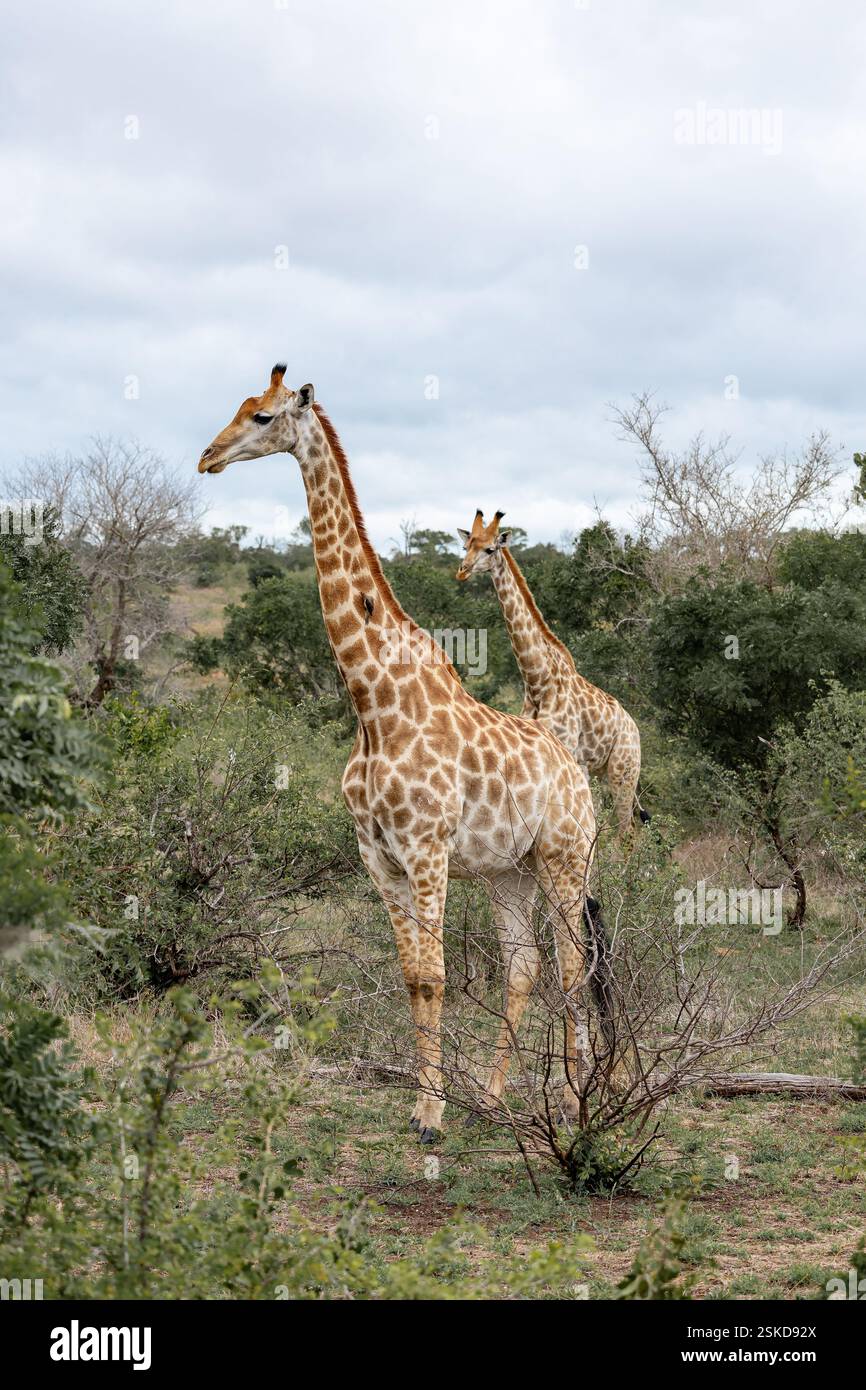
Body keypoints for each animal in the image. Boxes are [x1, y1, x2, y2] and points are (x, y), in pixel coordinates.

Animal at [198, 366, 611, 1141]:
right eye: (237, 407)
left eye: (263, 416)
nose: (207, 457)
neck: (373, 702)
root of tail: (578, 775)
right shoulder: (378, 856)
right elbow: (413, 976)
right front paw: (428, 1104)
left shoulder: (425, 848)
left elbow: (436, 975)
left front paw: (432, 1116)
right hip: (510, 871)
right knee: (526, 965)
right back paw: (495, 1097)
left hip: (565, 857)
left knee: (575, 962)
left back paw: (575, 1103)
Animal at [456, 510, 644, 845]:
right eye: (466, 545)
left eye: (490, 549)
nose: (462, 571)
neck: (537, 680)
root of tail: (634, 728)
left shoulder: (570, 754)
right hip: (604, 772)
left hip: (623, 771)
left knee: (626, 832)